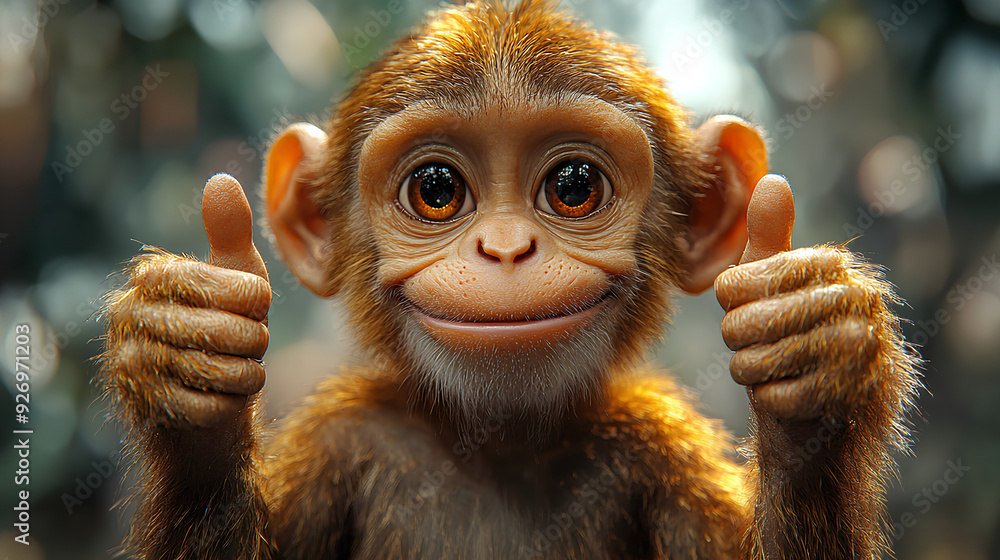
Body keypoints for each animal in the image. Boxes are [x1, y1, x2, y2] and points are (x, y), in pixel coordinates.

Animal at [97, 1, 921, 559]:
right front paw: (187, 365)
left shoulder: (666, 451)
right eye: (436, 189)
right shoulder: (340, 441)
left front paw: (814, 352)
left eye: (574, 186)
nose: (503, 248)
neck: (501, 446)